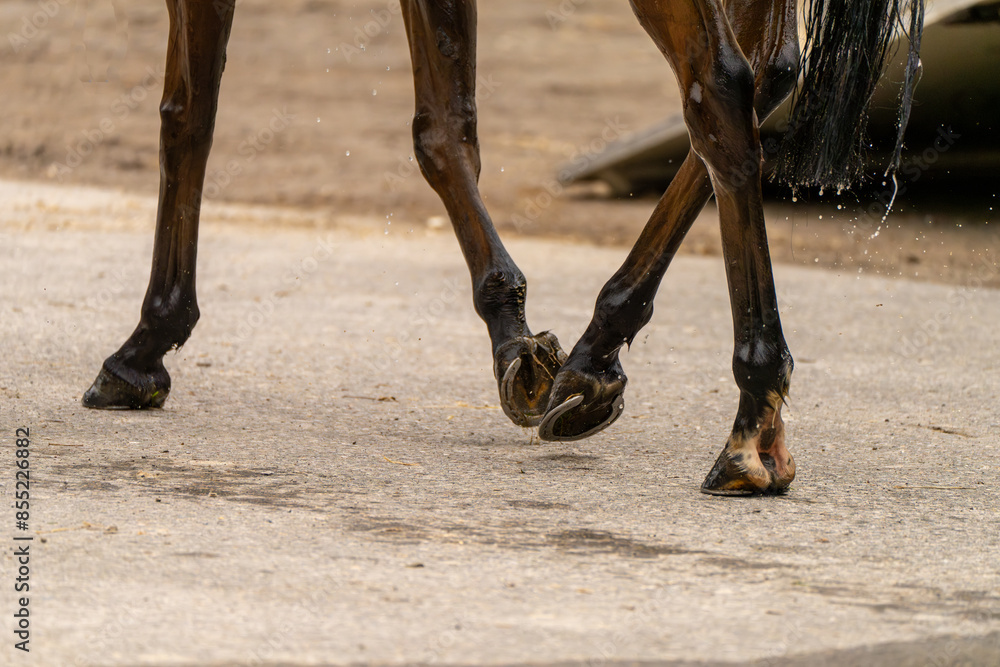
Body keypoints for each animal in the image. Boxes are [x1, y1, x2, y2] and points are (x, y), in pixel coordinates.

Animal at [81, 0, 924, 495]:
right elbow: (445, 126)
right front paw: (518, 339)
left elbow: (187, 116)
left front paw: (147, 342)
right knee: (768, 75)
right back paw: (598, 350)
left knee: (718, 90)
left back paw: (754, 417)